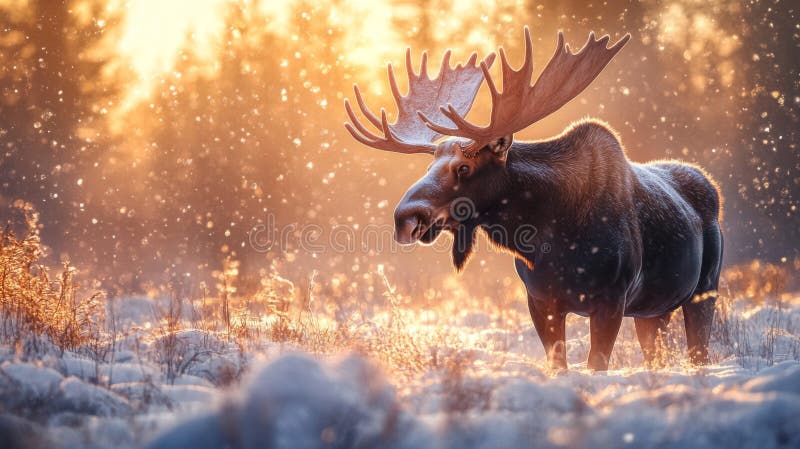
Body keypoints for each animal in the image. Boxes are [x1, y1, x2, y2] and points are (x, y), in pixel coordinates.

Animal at [343, 28, 723, 371]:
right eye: (429, 165)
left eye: (464, 167)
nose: (405, 218)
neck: (550, 239)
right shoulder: (540, 299)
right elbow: (557, 365)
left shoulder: (611, 297)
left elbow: (596, 365)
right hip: (653, 310)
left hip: (704, 290)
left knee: (698, 351)